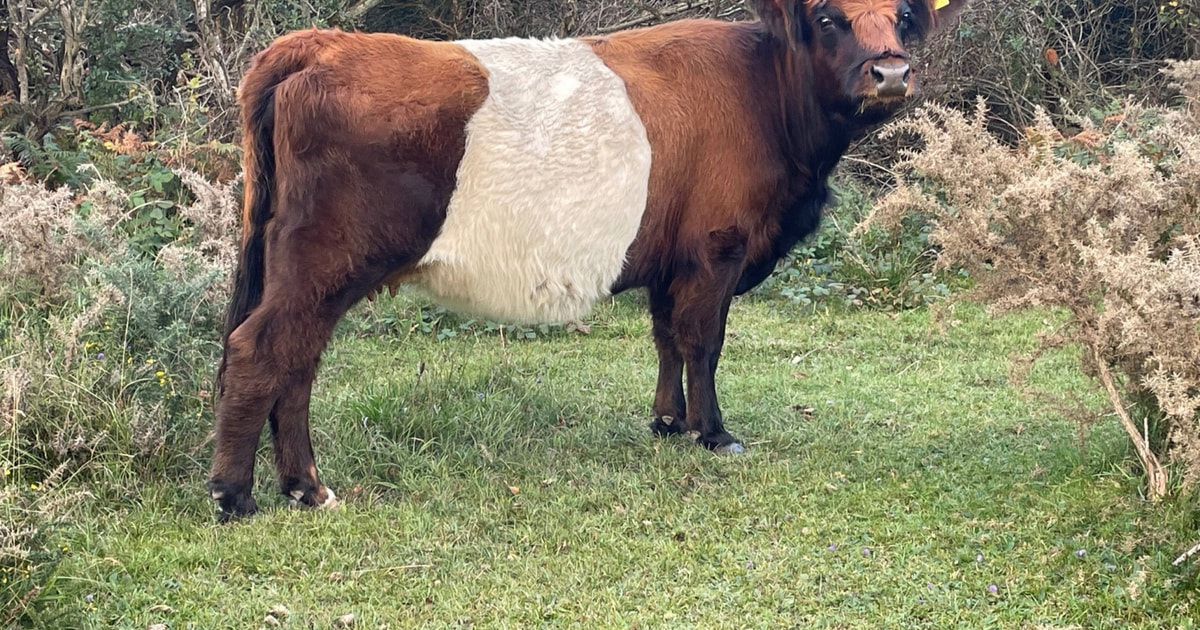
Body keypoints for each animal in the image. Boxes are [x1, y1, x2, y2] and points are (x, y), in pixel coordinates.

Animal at [207, 0, 969, 521]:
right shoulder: (716, 250)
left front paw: (667, 421)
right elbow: (704, 341)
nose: (891, 72)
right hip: (323, 259)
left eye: (904, 17)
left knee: (296, 360)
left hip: (305, 267)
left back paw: (304, 487)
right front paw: (713, 432)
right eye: (828, 18)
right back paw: (237, 495)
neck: (767, 97)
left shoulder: (672, 259)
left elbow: (666, 338)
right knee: (261, 349)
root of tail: (322, 43)